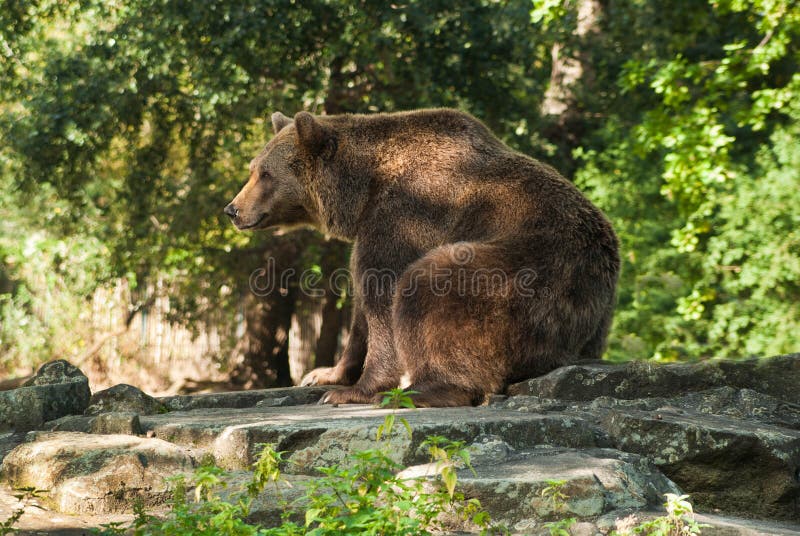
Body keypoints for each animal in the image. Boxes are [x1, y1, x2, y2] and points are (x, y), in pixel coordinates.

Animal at [225, 109, 619, 407]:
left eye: (265, 173)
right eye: (253, 168)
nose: (232, 209)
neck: (363, 190)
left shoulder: (404, 217)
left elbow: (383, 296)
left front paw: (355, 391)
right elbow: (360, 313)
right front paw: (324, 374)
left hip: (523, 277)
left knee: (432, 287)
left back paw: (423, 390)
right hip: (589, 319)